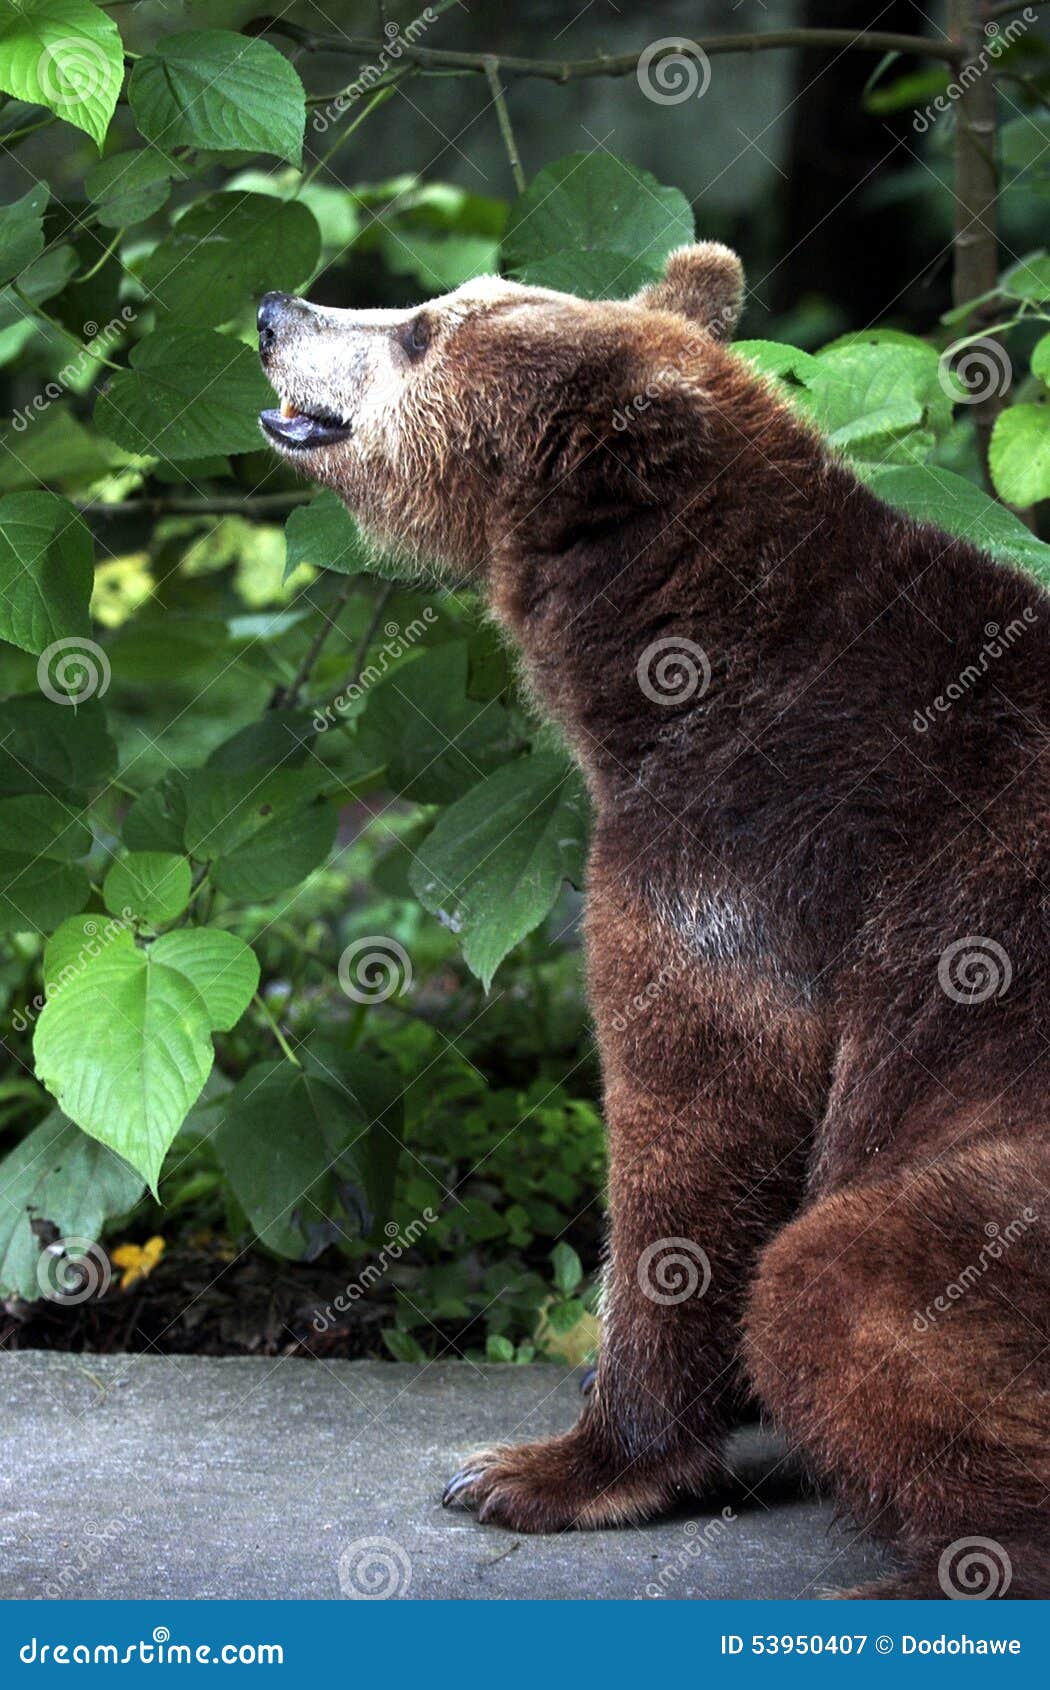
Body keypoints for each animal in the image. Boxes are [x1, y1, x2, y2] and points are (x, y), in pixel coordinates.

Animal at [258, 245, 1050, 1600]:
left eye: (423, 331)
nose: (273, 310)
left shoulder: (748, 866)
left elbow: (695, 1141)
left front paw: (545, 1464)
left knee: (834, 1282)